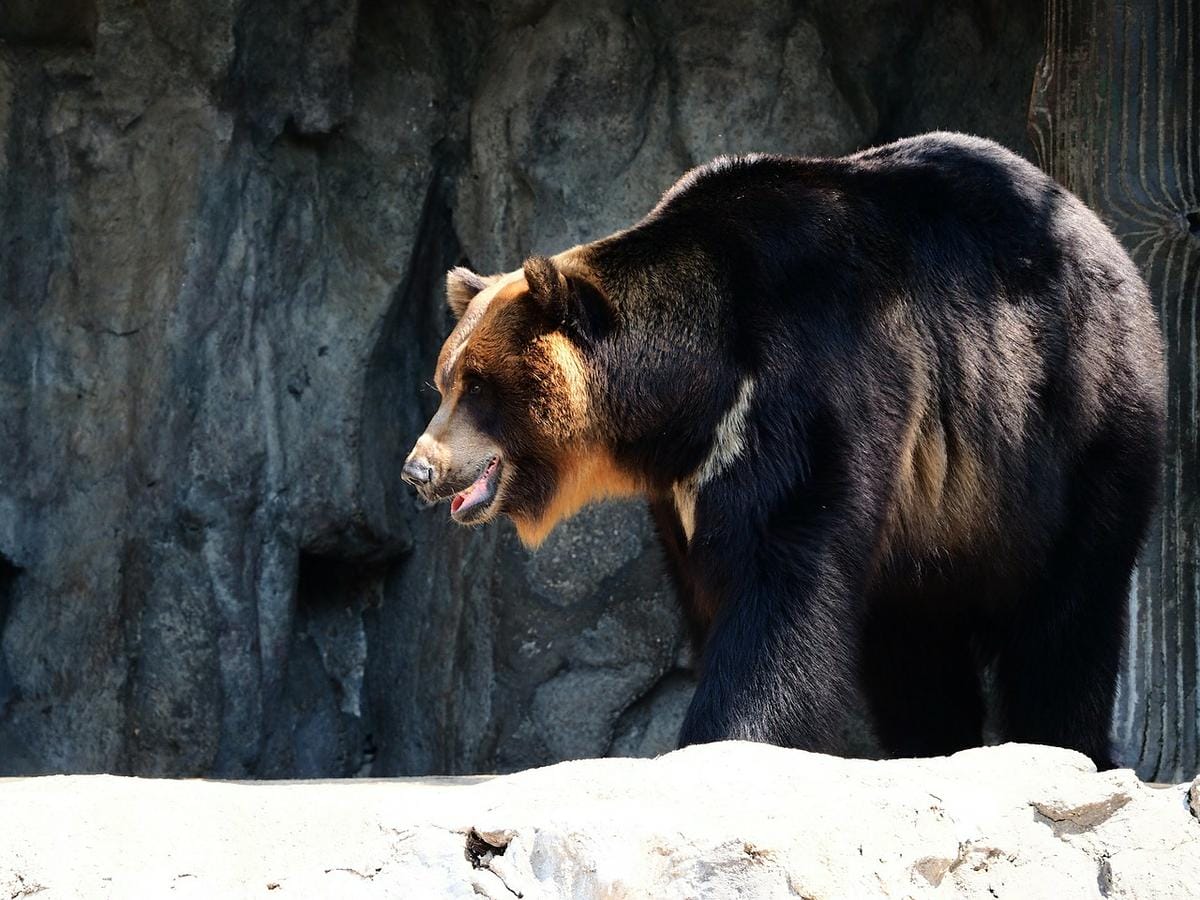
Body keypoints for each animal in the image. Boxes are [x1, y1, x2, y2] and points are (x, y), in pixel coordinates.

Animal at [401, 132, 1165, 770]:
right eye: (444, 379)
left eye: (478, 385)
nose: (419, 469)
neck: (692, 393)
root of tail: (1108, 242)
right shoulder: (687, 483)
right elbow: (713, 587)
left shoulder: (810, 384)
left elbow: (781, 580)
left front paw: (727, 739)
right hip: (941, 519)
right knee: (915, 645)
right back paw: (929, 747)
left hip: (1075, 427)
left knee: (1066, 615)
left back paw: (1063, 744)